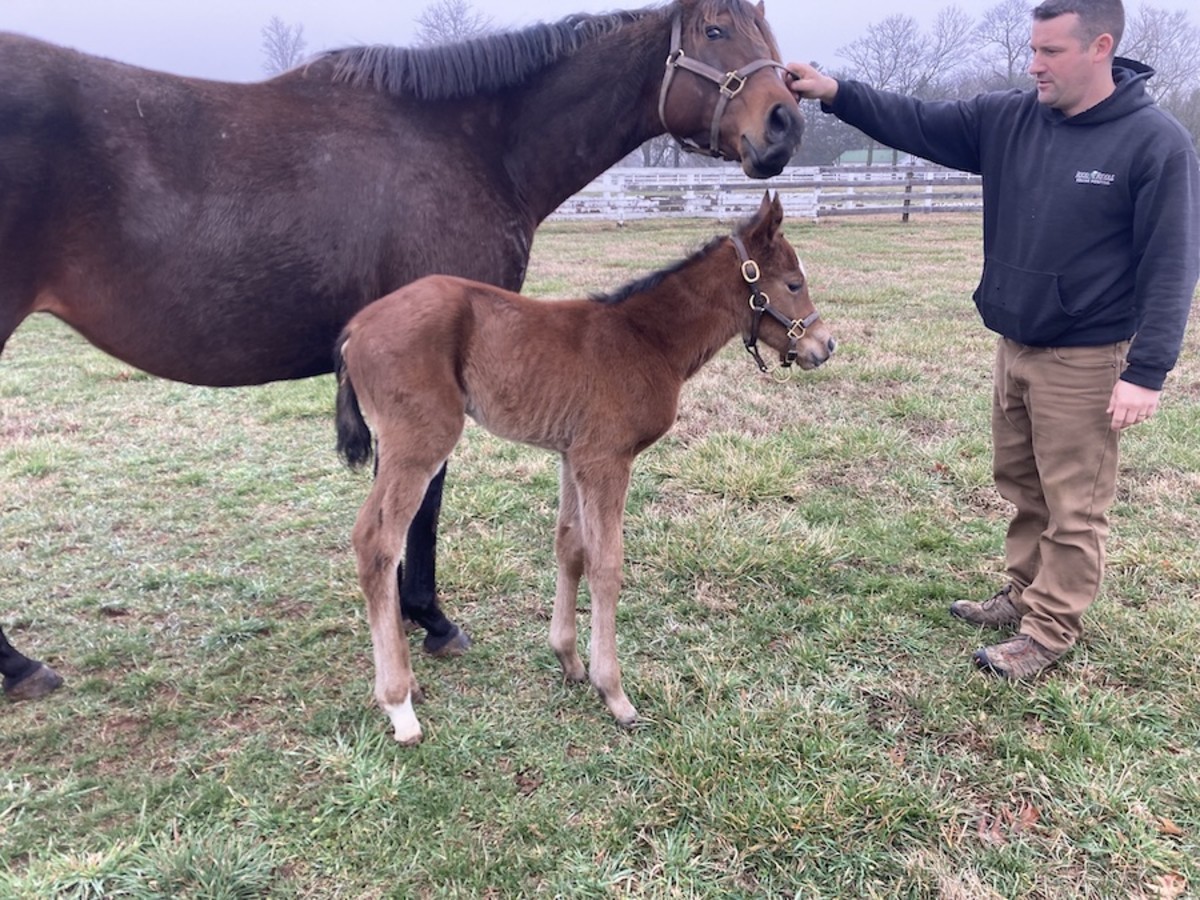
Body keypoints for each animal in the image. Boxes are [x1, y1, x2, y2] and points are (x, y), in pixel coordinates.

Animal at [334, 192, 835, 743]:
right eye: (794, 283)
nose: (825, 345)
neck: (645, 339)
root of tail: (354, 328)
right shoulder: (606, 458)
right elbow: (606, 564)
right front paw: (614, 693)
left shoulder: (573, 456)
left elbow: (570, 547)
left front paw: (569, 661)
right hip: (419, 441)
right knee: (376, 542)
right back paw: (399, 706)